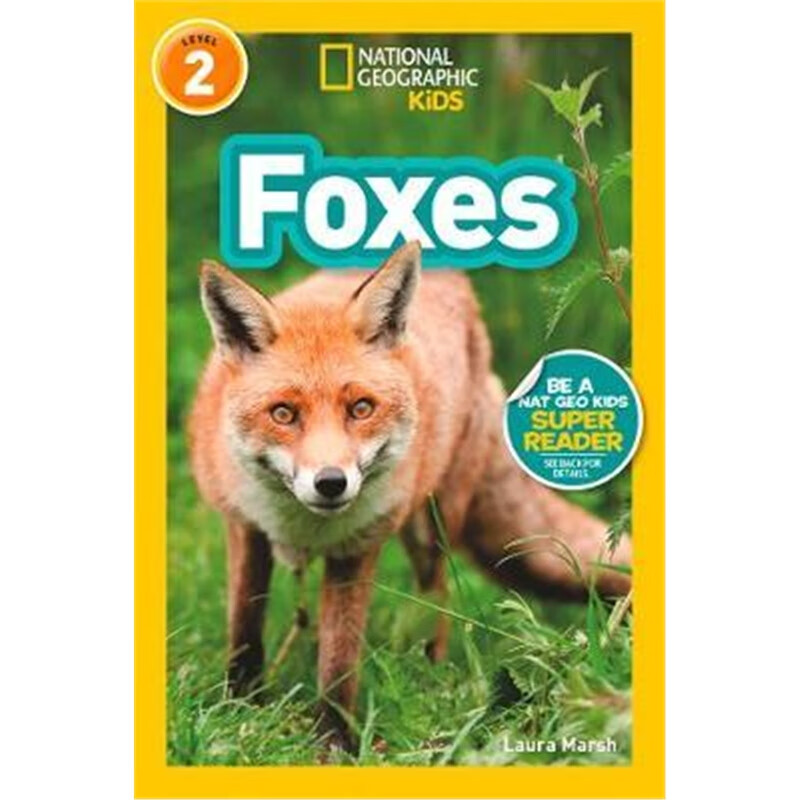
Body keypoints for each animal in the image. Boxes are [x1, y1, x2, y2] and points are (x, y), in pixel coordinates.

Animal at [189, 240, 631, 750]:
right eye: (283, 414)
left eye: (361, 408)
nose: (331, 482)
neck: (302, 525)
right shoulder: (245, 526)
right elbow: (244, 629)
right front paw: (239, 709)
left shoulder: (356, 549)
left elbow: (339, 662)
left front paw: (334, 745)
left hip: (432, 526)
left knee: (436, 597)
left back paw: (430, 676)